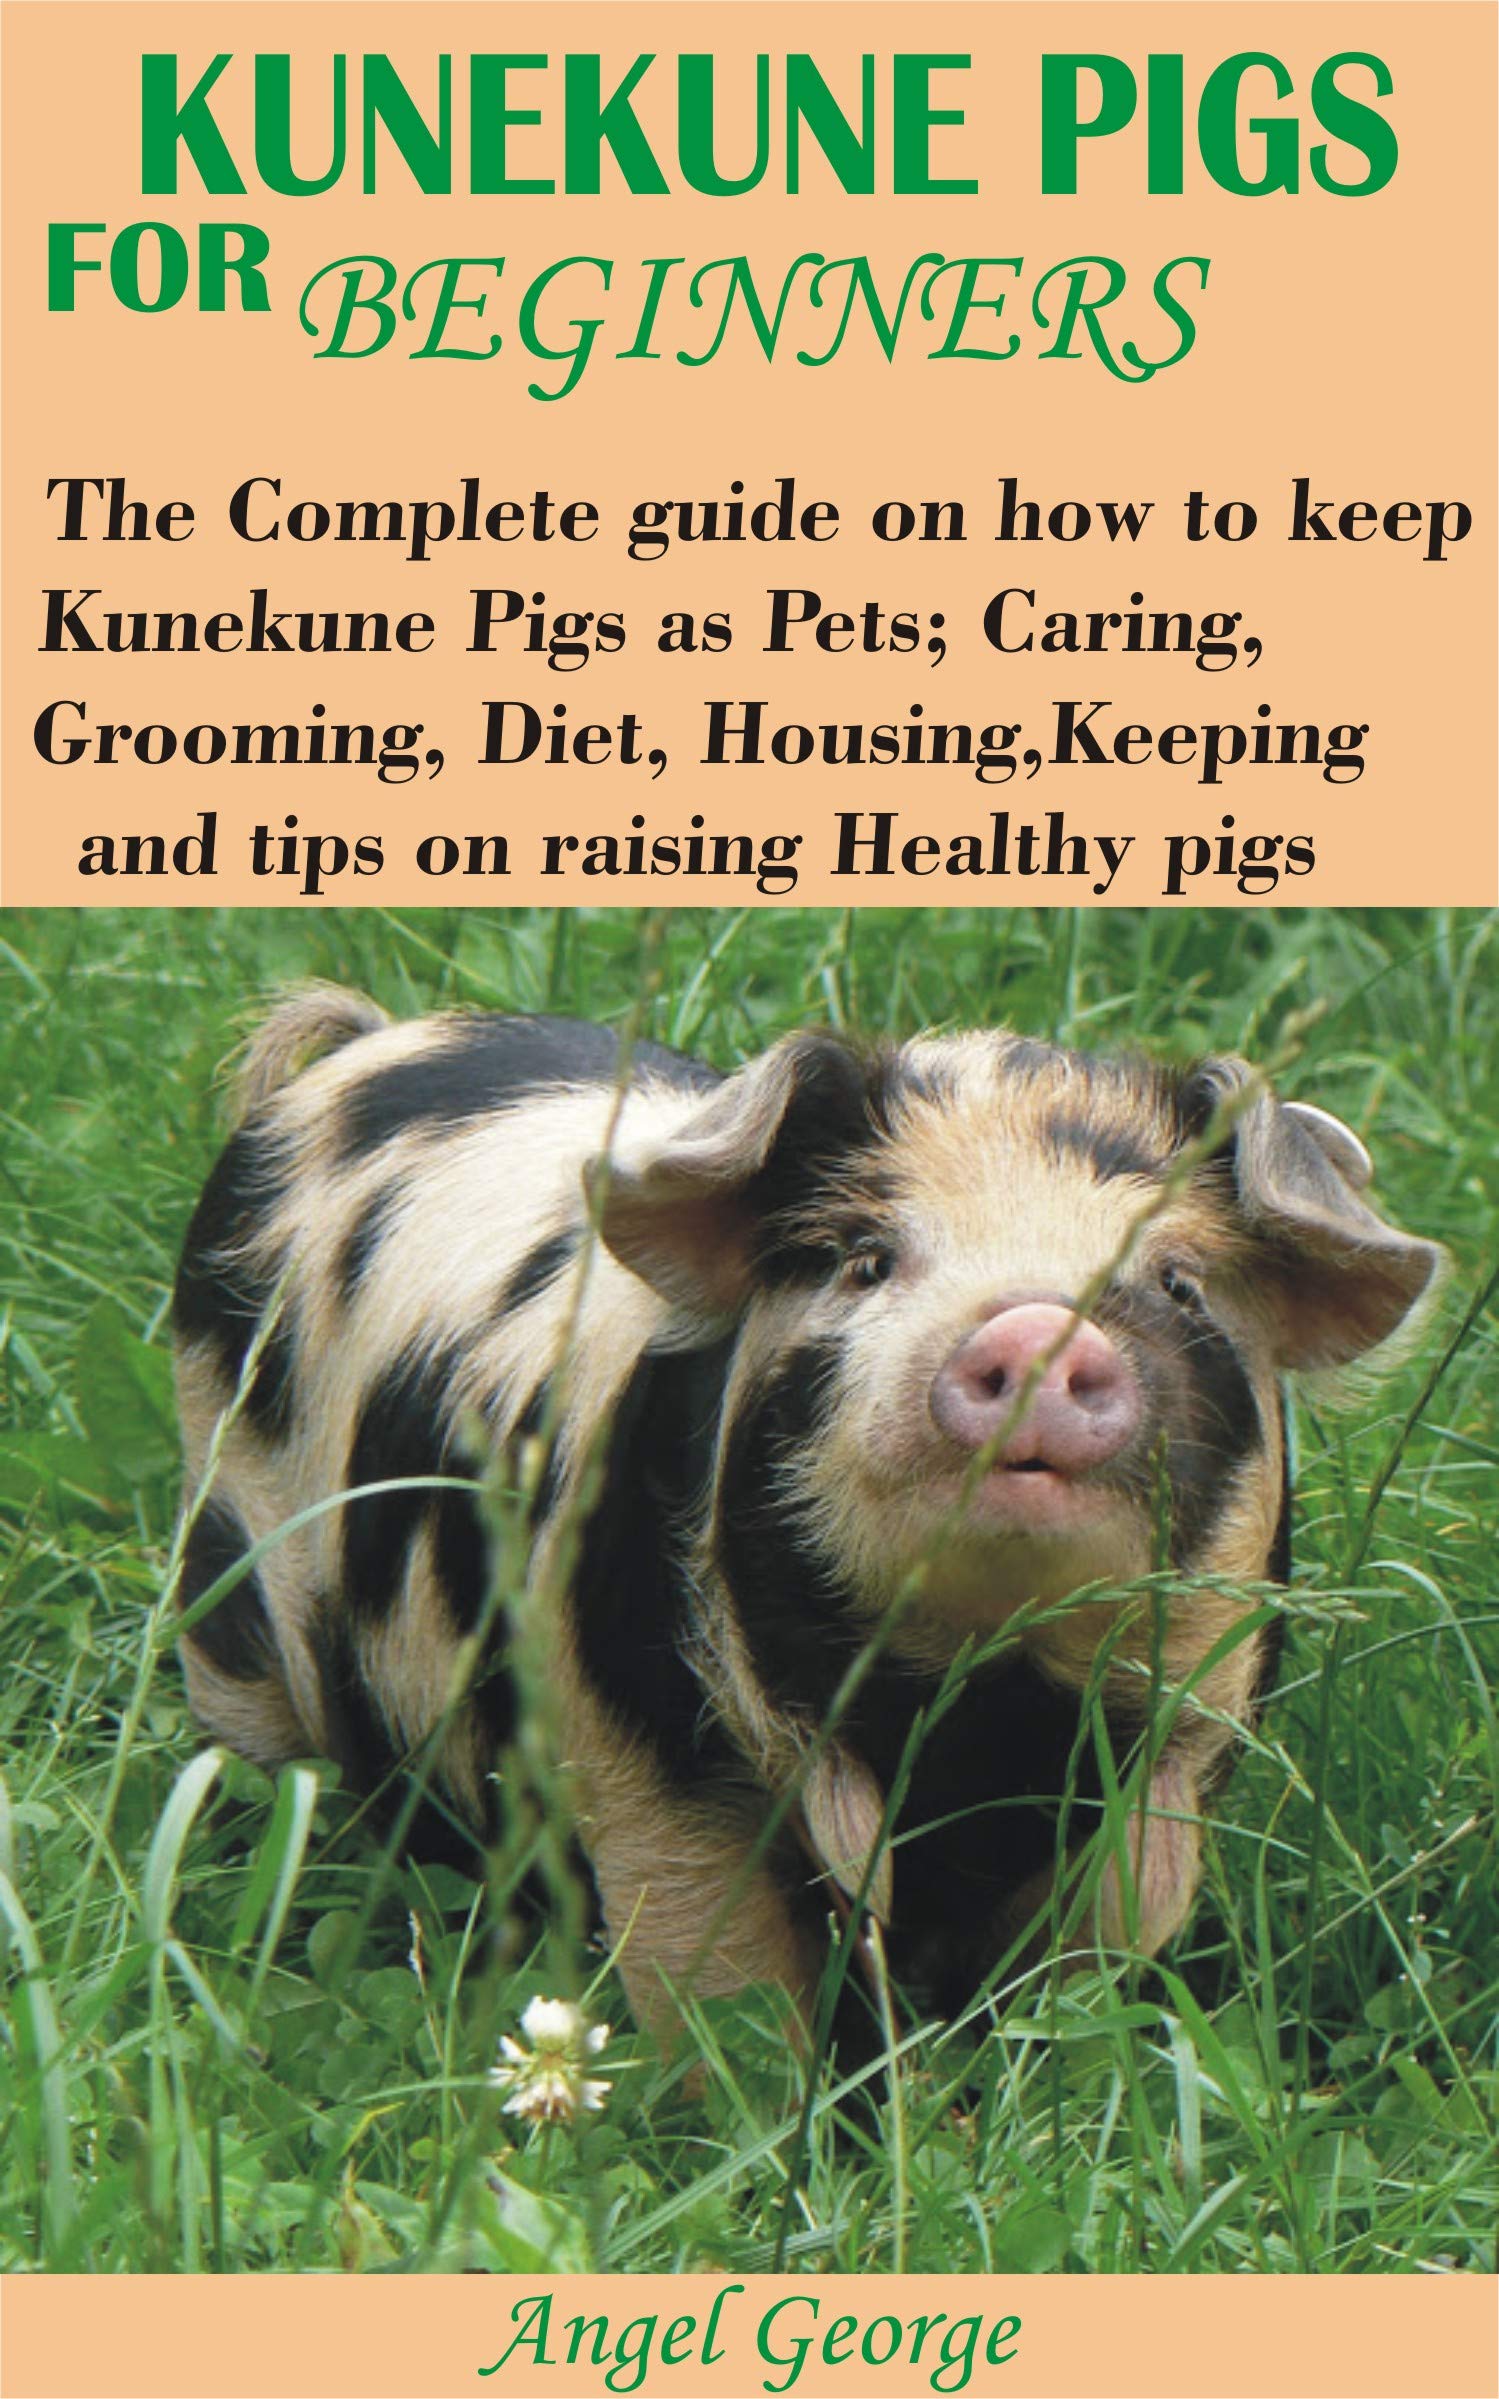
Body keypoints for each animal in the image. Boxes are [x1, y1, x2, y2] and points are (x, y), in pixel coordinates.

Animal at [171, 987, 1442, 2029]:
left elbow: (1086, 1970)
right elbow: (721, 1986)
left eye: (1178, 1281)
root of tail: (363, 1045)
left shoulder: (1175, 1754)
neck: (978, 1689)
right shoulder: (650, 1769)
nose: (1037, 1324)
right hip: (223, 1572)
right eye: (862, 1259)